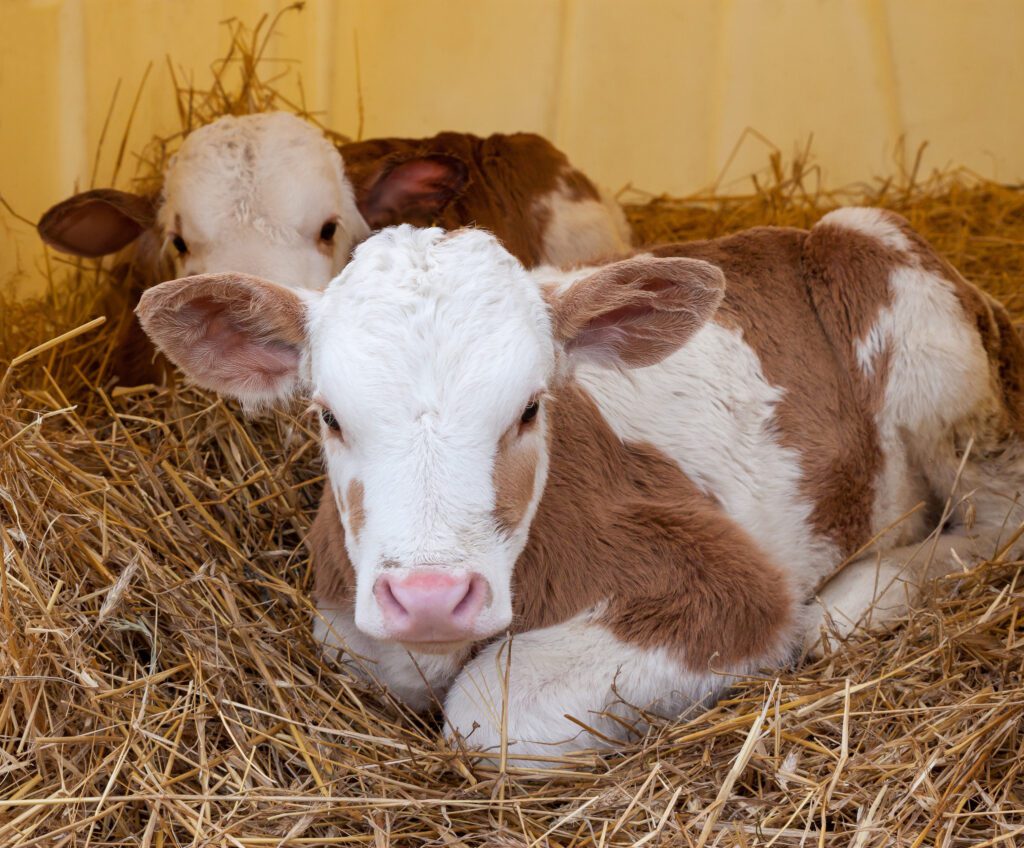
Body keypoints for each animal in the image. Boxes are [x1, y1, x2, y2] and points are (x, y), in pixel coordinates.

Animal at [135, 210, 1024, 764]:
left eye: (531, 407)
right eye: (328, 416)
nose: (429, 596)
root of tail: (814, 228)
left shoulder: (725, 584)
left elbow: (486, 711)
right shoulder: (347, 616)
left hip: (944, 384)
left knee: (996, 518)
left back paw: (863, 598)